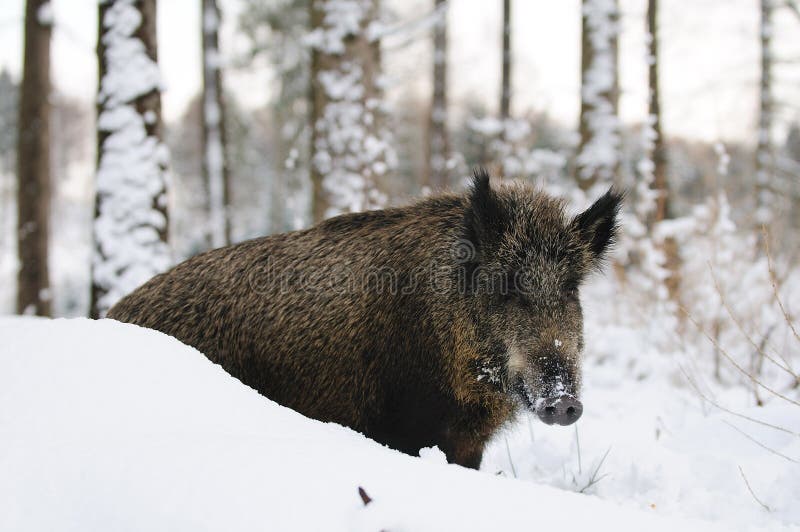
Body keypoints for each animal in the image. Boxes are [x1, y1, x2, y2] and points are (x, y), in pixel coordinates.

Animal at [108, 169, 622, 469]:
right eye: (508, 286)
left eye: (571, 288)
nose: (564, 402)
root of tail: (114, 312)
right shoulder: (401, 426)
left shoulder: (467, 441)